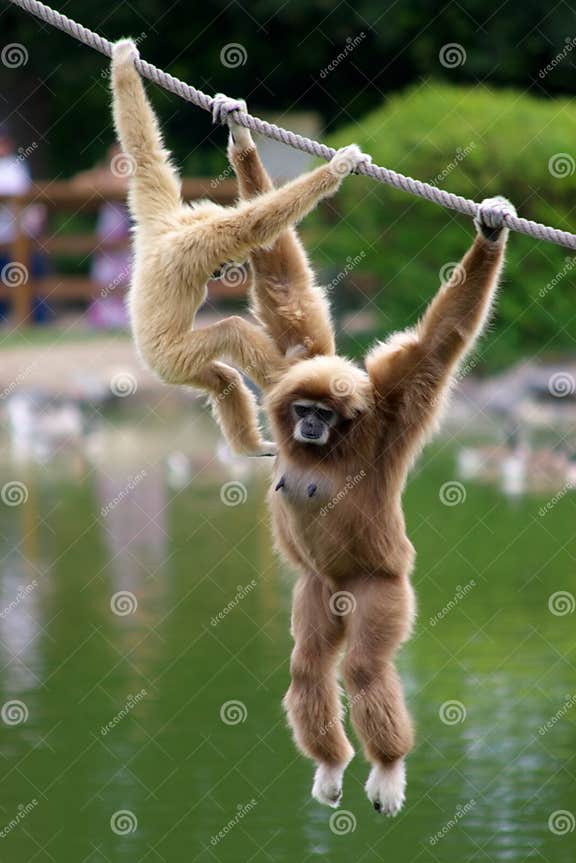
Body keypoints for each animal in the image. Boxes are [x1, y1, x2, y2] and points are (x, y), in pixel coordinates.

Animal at [110, 39, 369, 456]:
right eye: (221, 263)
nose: (221, 271)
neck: (178, 231)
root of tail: (149, 361)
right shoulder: (202, 243)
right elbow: (255, 223)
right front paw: (338, 168)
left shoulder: (157, 218)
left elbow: (144, 154)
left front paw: (123, 61)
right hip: (177, 357)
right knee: (231, 332)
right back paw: (286, 378)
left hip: (181, 367)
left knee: (221, 379)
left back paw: (251, 445)